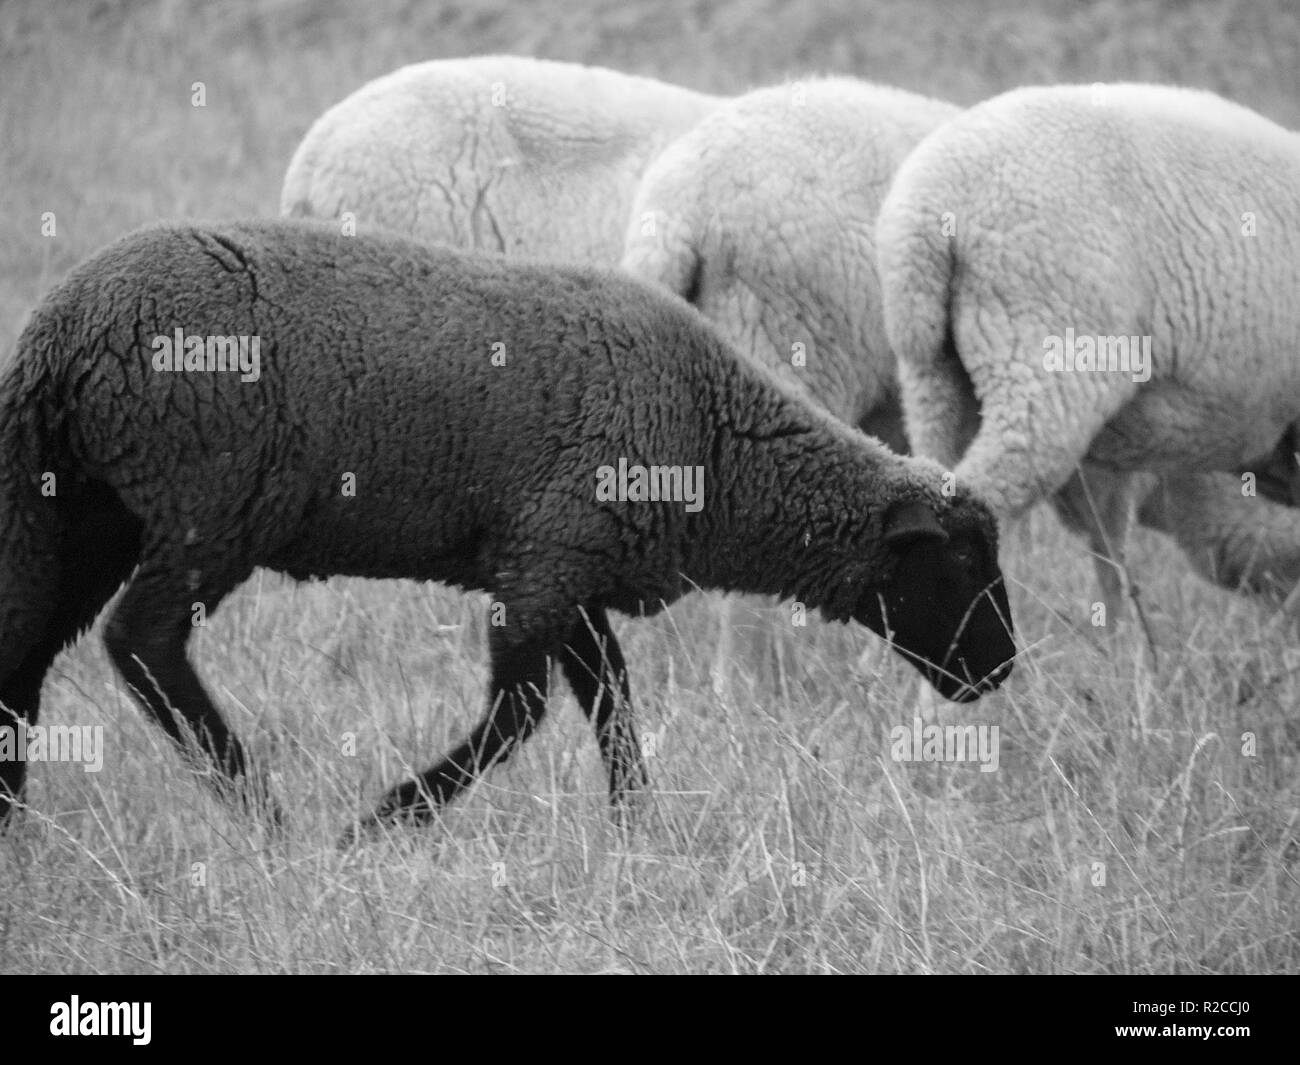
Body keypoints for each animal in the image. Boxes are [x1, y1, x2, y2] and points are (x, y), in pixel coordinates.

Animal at [0, 219, 1015, 832]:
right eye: (962, 561)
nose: (1004, 669)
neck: (716, 441)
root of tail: (63, 329)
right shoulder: (544, 564)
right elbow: (521, 713)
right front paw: (384, 822)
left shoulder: (572, 572)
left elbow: (611, 702)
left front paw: (636, 831)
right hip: (205, 507)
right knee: (142, 642)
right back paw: (264, 815)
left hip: (82, 512)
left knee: (28, 650)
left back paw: (18, 821)